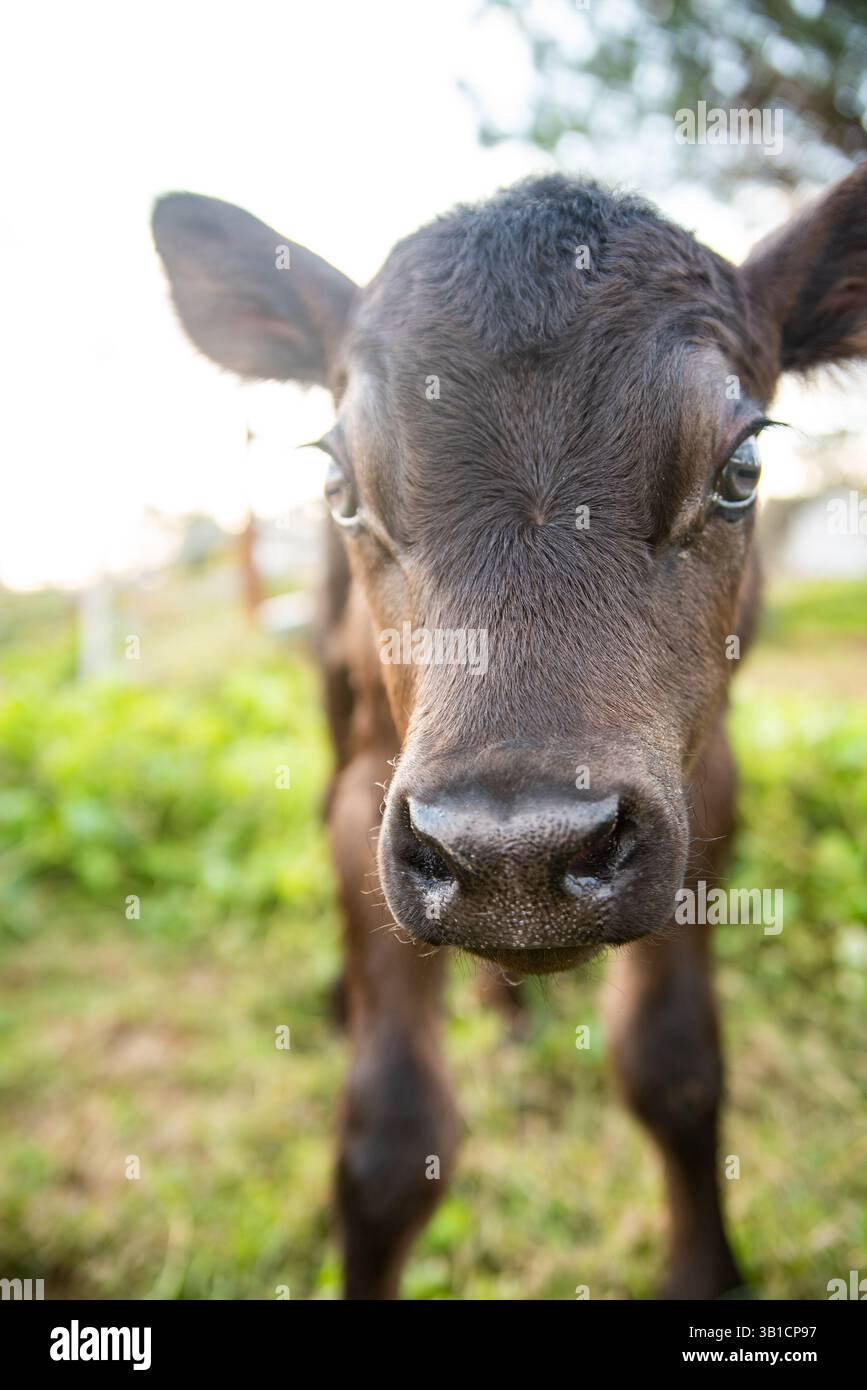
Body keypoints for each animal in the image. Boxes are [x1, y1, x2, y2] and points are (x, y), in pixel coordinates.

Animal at [152, 166, 867, 1299]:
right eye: (338, 485)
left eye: (744, 466)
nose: (515, 853)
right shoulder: (371, 797)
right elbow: (389, 1146)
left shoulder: (706, 782)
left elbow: (673, 1066)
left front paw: (703, 1269)